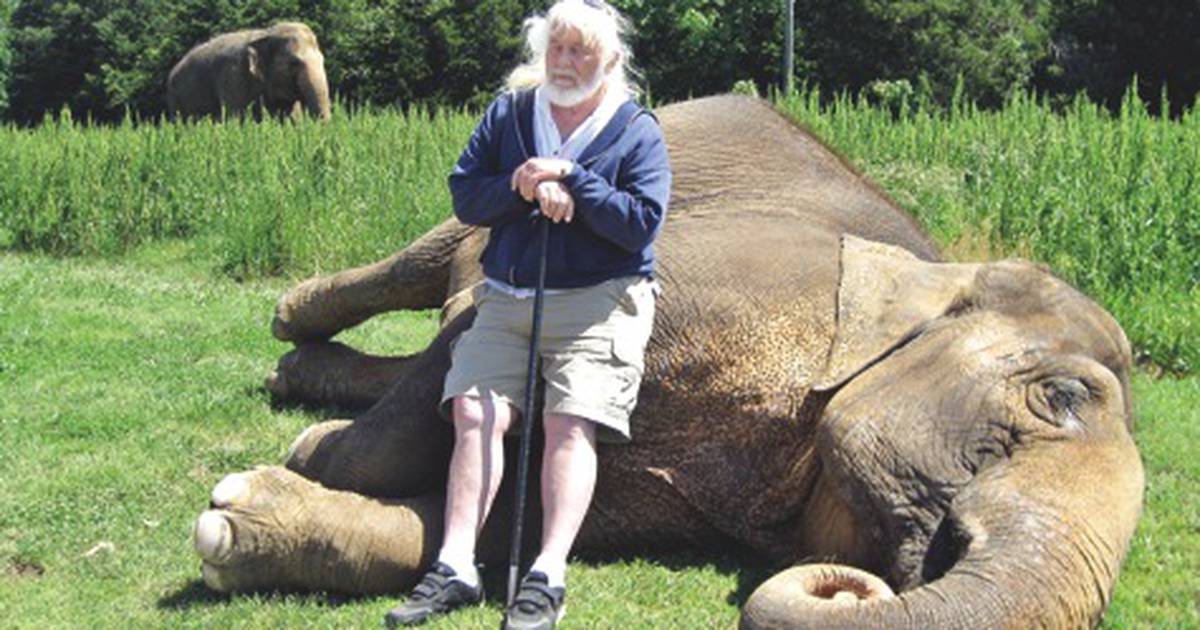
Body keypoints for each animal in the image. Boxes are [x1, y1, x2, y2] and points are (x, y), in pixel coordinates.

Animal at [191, 95, 1143, 628]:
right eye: (1061, 395)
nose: (854, 586)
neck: (934, 273)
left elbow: (526, 521)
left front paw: (240, 518)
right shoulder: (716, 280)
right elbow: (465, 340)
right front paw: (310, 450)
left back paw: (301, 379)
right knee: (426, 266)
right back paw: (292, 326)